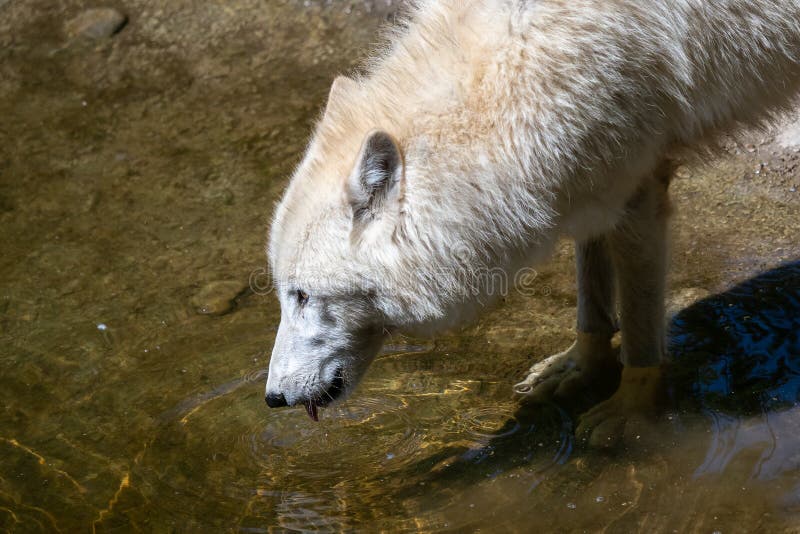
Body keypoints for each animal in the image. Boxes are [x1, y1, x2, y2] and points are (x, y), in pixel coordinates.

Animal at [264, 0, 800, 443]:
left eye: (303, 295)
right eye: (288, 295)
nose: (273, 397)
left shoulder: (638, 193)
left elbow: (640, 326)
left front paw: (630, 410)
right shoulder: (588, 184)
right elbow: (591, 299)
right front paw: (579, 368)